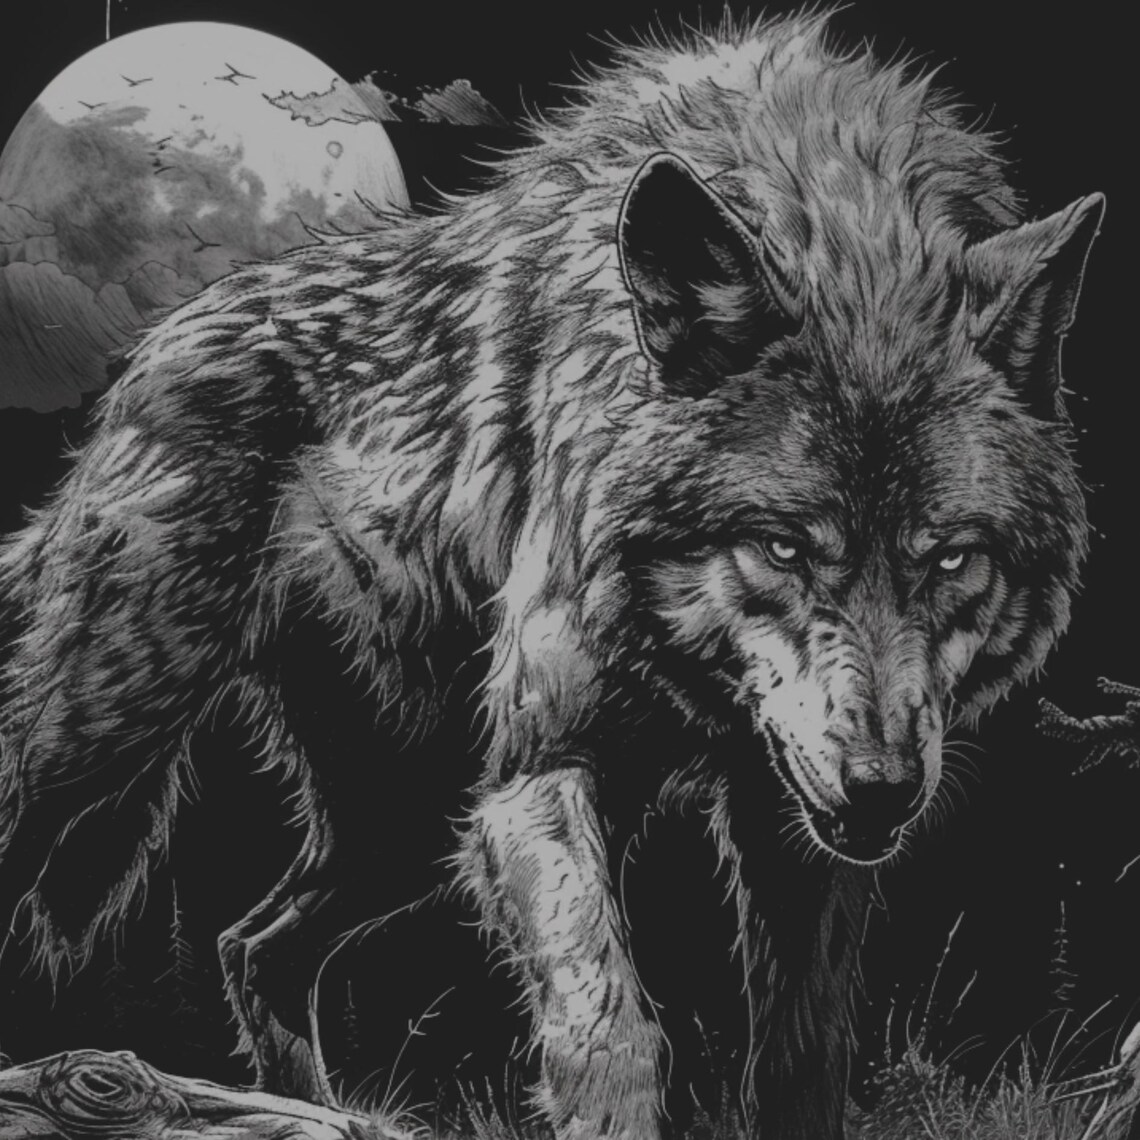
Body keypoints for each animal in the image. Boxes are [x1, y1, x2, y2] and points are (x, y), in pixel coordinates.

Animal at [0, 11, 1102, 1140]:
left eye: (952, 557)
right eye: (784, 548)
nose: (884, 789)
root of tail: (144, 356)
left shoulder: (793, 829)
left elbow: (804, 1055)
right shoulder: (539, 773)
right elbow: (612, 1031)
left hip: (404, 818)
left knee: (252, 946)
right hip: (94, 753)